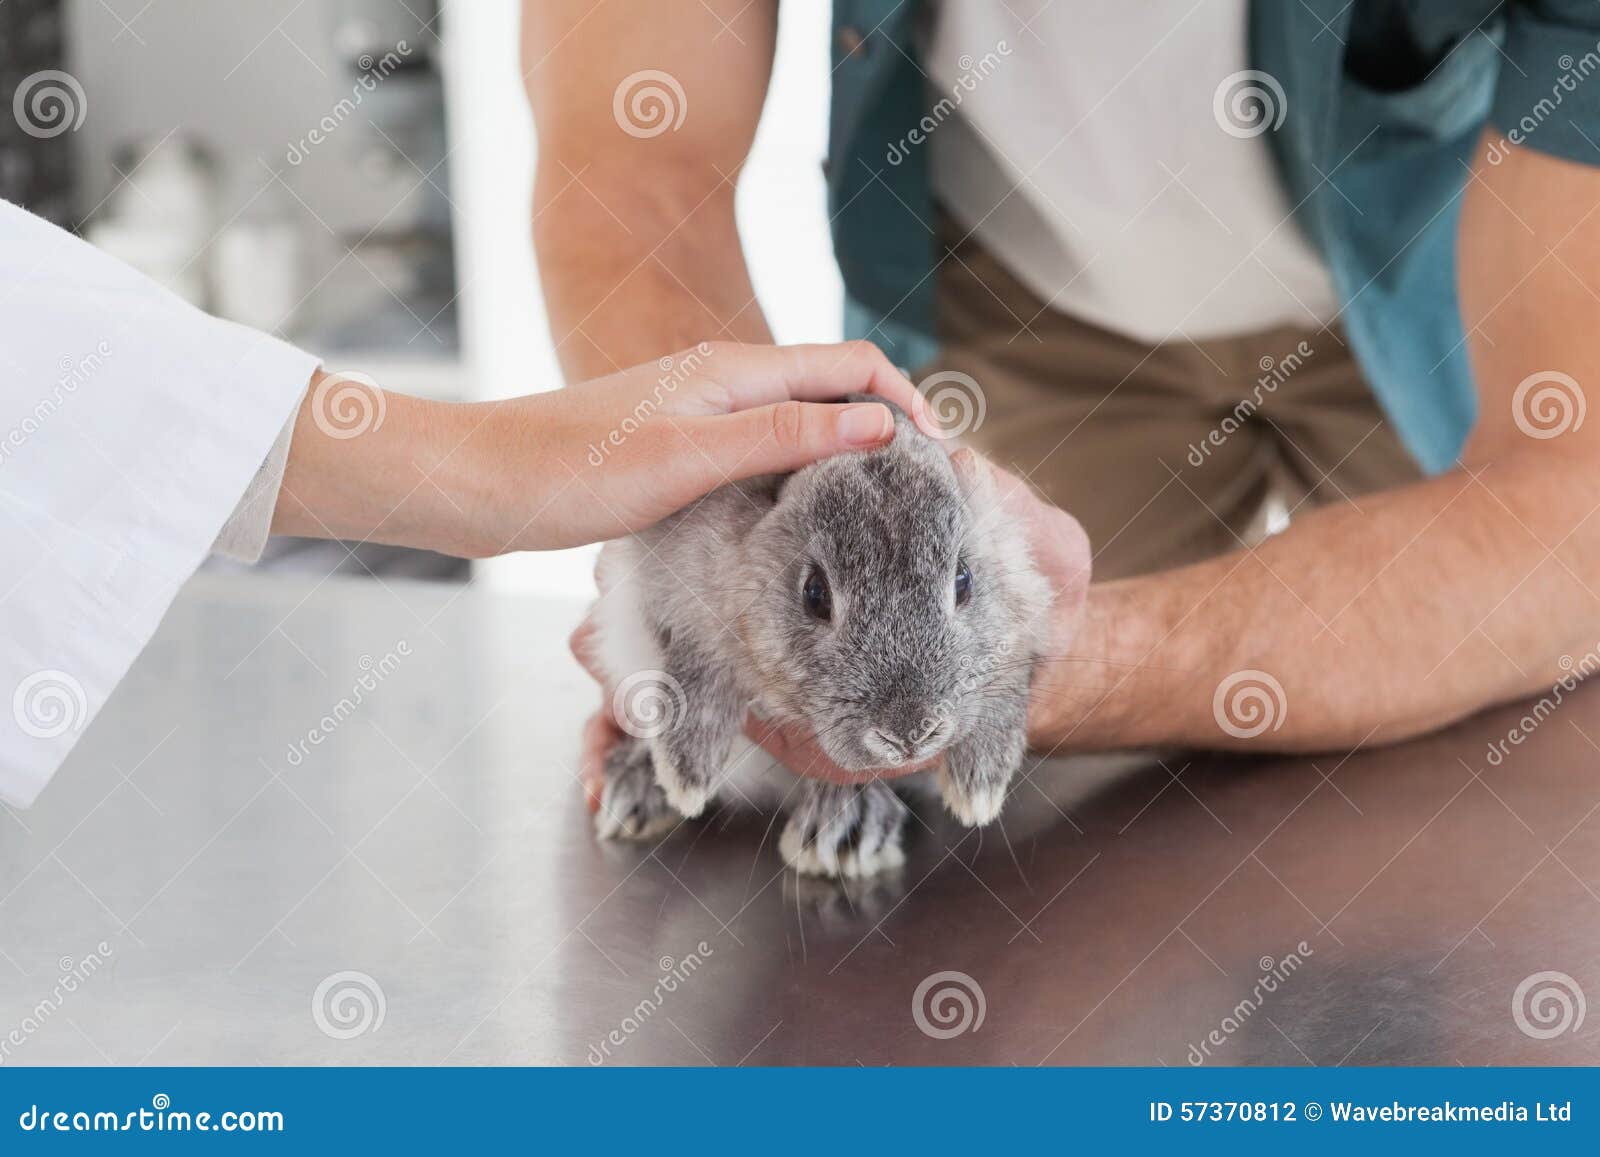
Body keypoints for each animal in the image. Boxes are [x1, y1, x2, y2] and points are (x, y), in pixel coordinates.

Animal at [586, 400, 1051, 878]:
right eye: (815, 593)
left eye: (963, 579)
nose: (910, 735)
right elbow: (695, 666)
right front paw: (686, 776)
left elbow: (1006, 678)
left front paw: (978, 791)